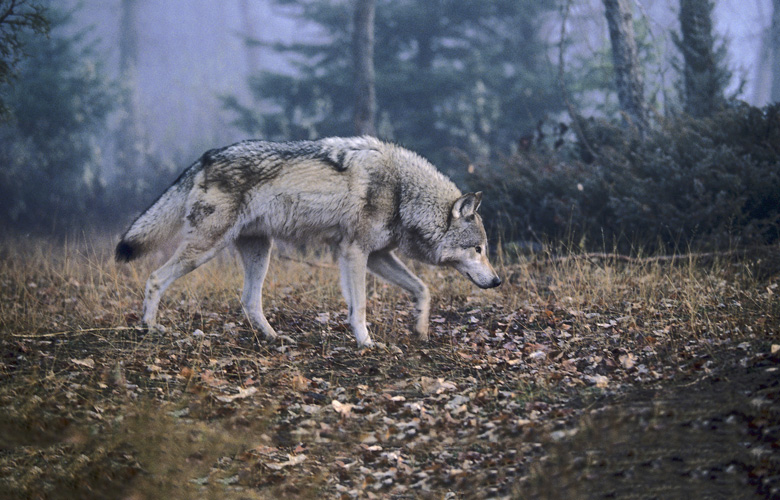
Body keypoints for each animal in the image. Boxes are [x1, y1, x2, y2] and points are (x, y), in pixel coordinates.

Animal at [116, 136, 501, 347]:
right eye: (478, 249)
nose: (498, 281)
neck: (402, 191)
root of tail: (206, 156)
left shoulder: (376, 256)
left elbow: (423, 290)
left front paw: (419, 328)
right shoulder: (356, 252)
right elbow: (360, 307)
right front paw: (367, 343)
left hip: (260, 251)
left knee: (249, 301)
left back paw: (274, 339)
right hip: (206, 249)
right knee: (155, 278)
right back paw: (149, 327)